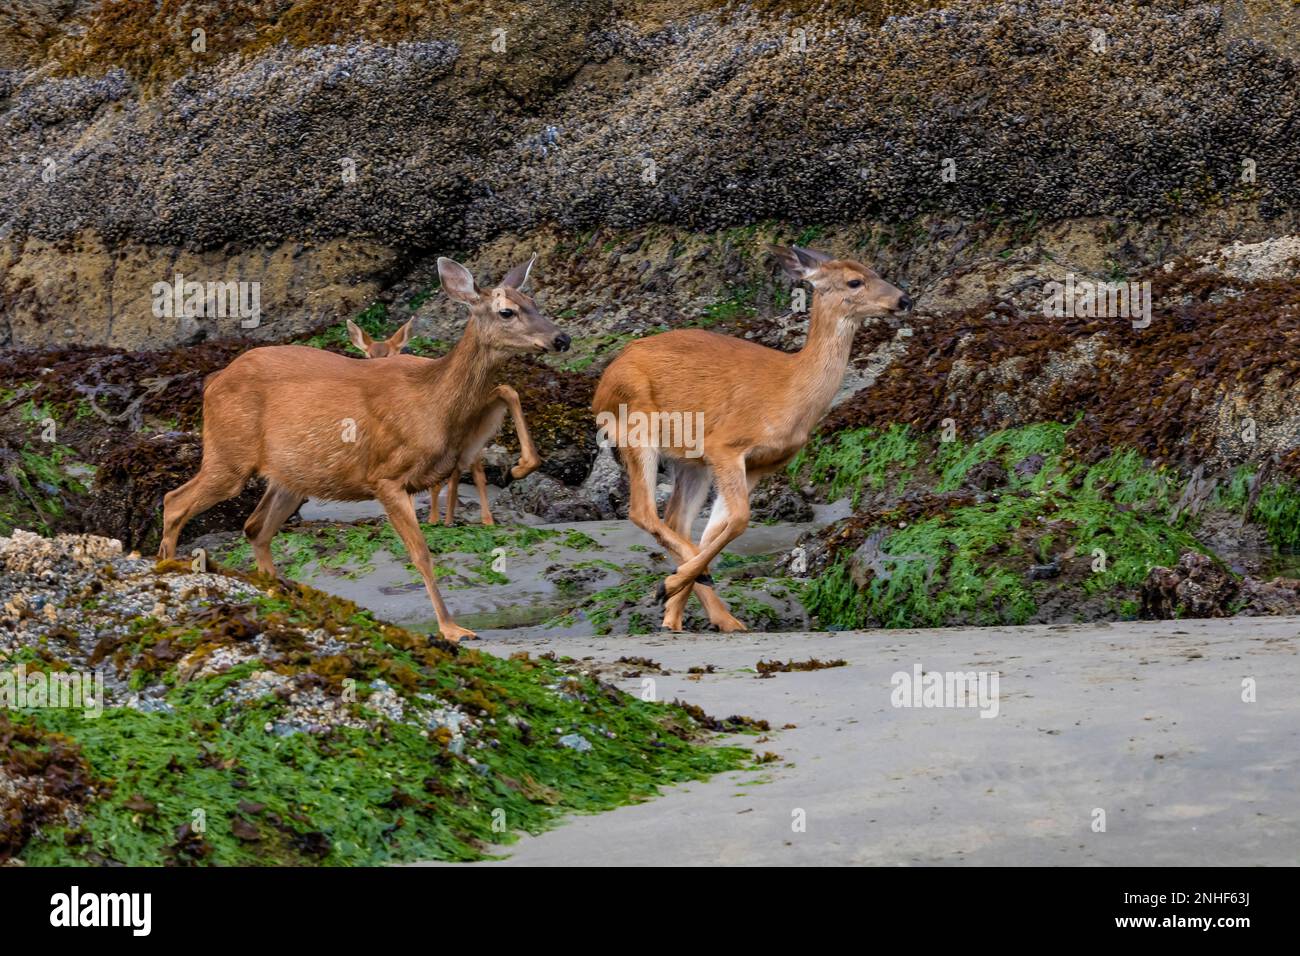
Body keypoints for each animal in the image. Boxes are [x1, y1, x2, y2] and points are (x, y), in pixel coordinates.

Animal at [592, 245, 911, 633]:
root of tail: (601, 386)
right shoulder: (725, 445)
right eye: (854, 281)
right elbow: (741, 519)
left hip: (690, 461)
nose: (904, 299)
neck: (790, 389)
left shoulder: (760, 464)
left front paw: (679, 600)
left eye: (875, 271)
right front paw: (671, 587)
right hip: (637, 426)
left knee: (677, 521)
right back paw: (681, 590)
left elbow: (721, 526)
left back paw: (694, 615)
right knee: (642, 511)